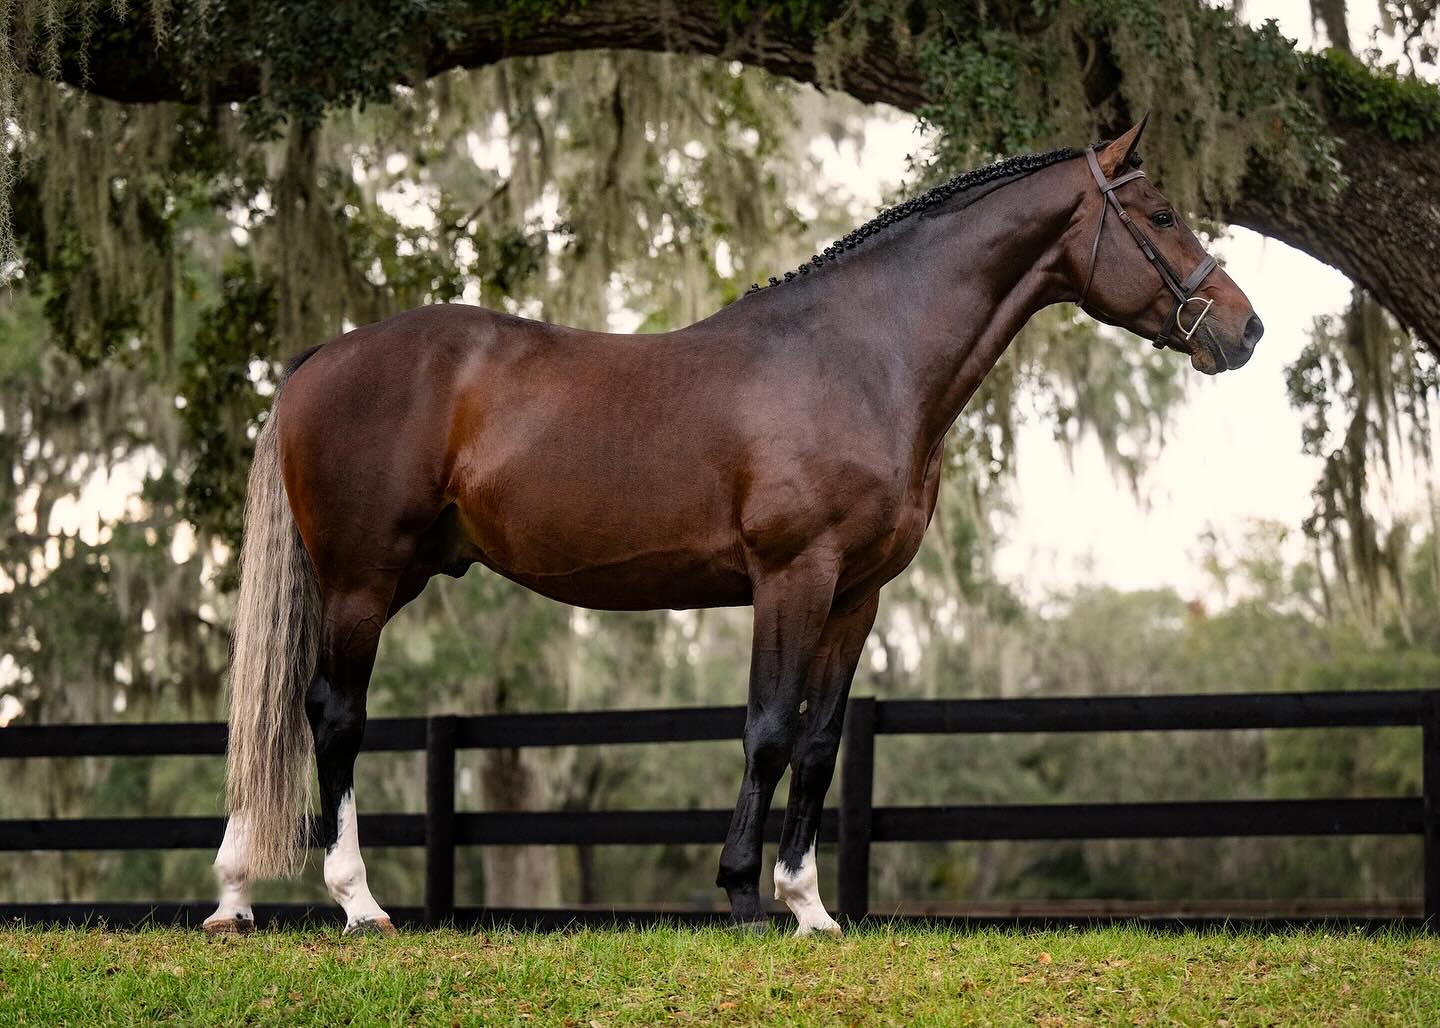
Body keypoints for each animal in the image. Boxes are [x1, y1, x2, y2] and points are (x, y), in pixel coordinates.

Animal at [201, 119, 1263, 937]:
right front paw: (748, 896)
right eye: (1160, 216)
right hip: (363, 579)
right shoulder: (794, 574)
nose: (1245, 330)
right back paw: (357, 904)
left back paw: (236, 900)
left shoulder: (858, 592)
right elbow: (767, 727)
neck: (860, 357)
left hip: (379, 578)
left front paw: (812, 908)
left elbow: (820, 740)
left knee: (286, 715)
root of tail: (319, 359)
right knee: (332, 717)